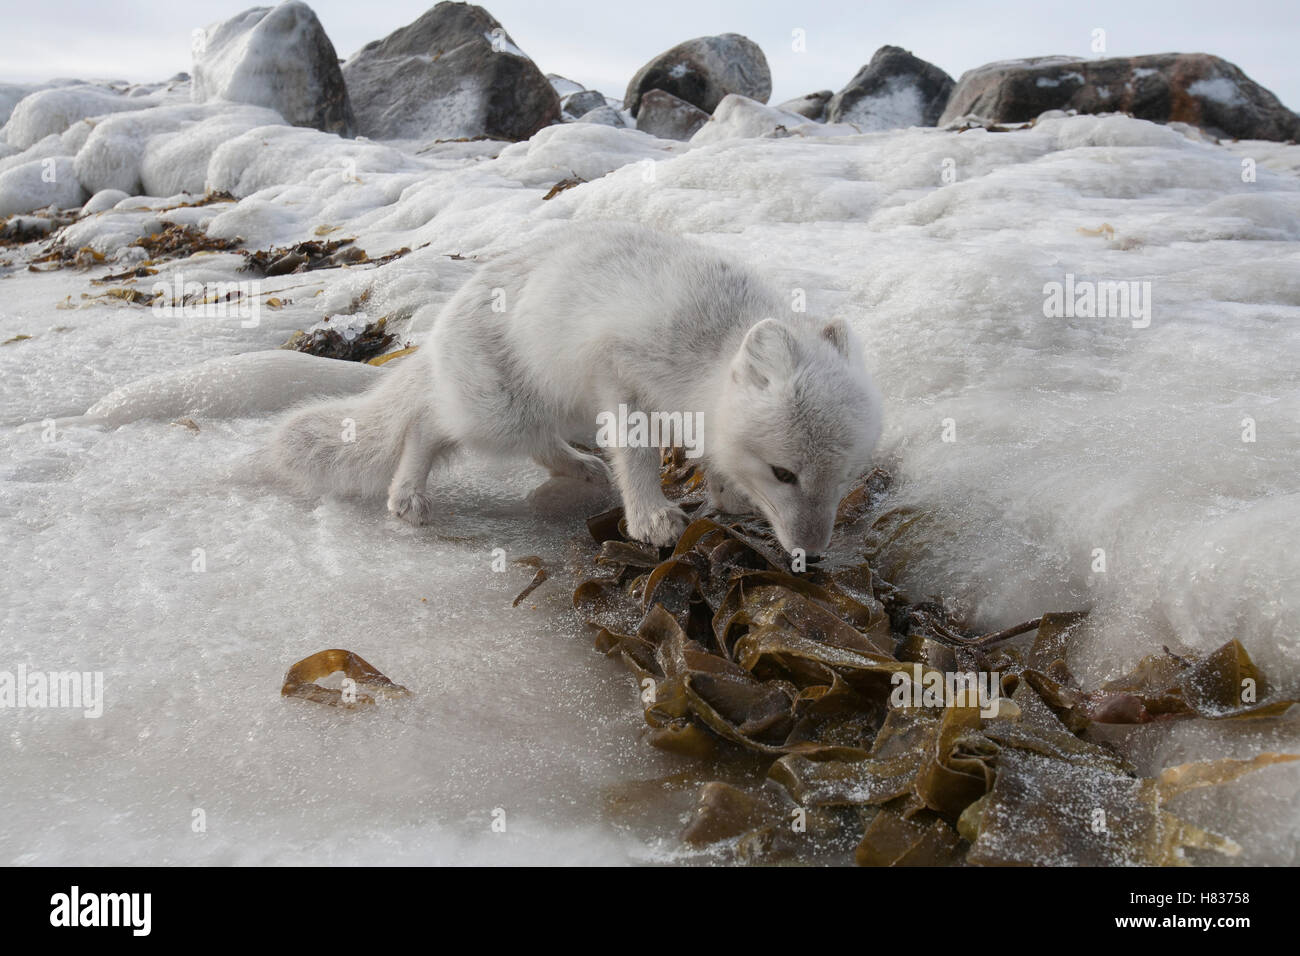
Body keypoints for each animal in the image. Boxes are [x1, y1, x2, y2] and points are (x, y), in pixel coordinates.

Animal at [265, 222, 883, 556]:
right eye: (784, 474)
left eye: (844, 478)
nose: (811, 557)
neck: (708, 345)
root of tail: (438, 332)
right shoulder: (619, 374)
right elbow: (638, 453)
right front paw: (651, 519)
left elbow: (712, 452)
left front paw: (726, 493)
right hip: (499, 413)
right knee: (425, 422)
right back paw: (407, 496)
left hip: (549, 410)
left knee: (539, 445)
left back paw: (583, 468)